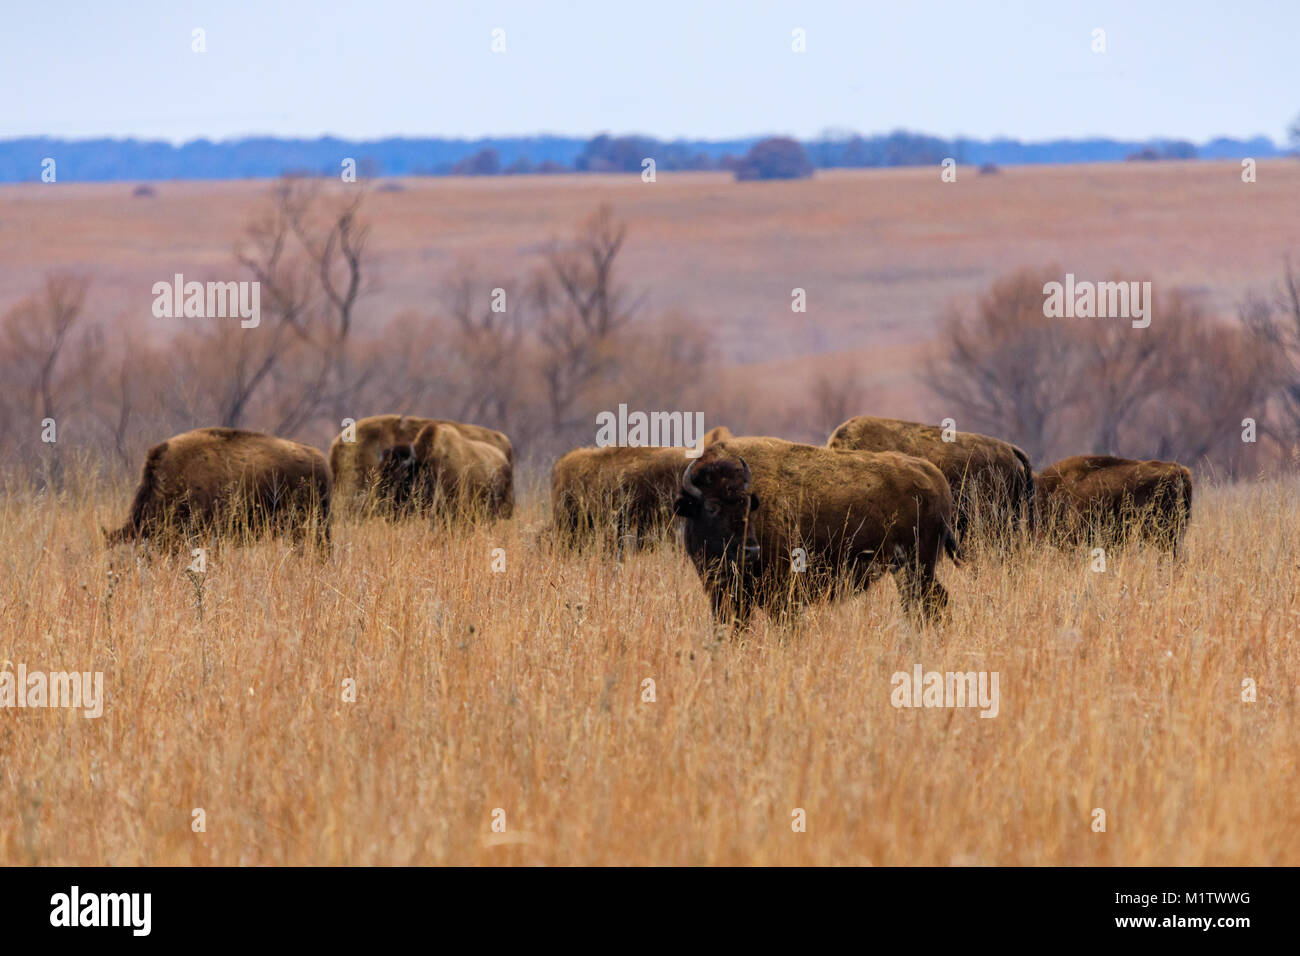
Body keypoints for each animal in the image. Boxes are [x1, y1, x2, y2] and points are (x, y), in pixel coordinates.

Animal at [675, 437, 960, 626]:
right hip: (908, 569)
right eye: (711, 507)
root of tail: (933, 475)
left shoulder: (782, 594)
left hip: (919, 566)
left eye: (747, 505)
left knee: (932, 603)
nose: (750, 549)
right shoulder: (727, 596)